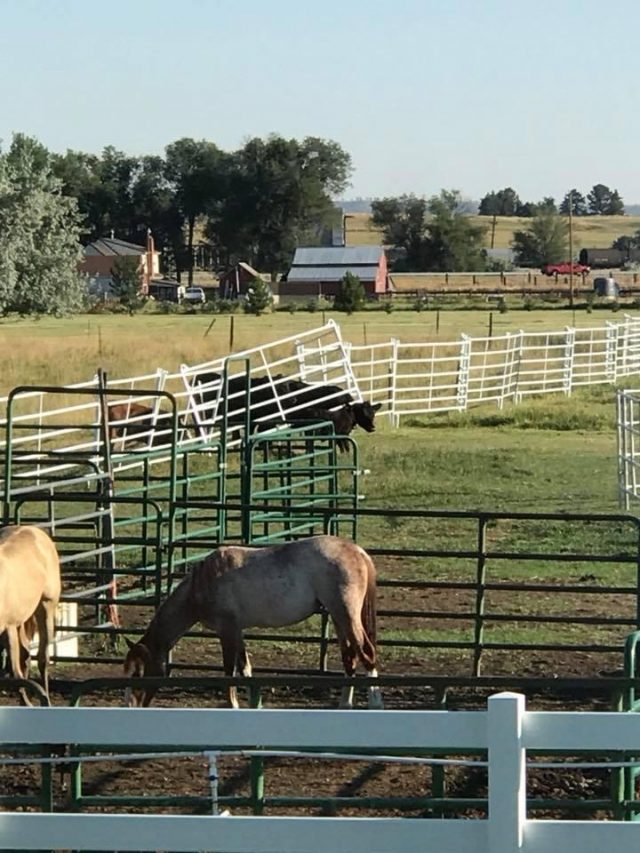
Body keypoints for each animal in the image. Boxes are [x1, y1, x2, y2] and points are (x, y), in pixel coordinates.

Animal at [0, 525, 61, 705]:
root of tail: (35, 530)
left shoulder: (8, 628)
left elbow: (15, 674)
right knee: (26, 655)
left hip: (46, 607)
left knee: (42, 658)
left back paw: (45, 699)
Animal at [124, 534, 383, 710]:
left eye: (137, 674)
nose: (130, 707)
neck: (202, 583)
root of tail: (357, 551)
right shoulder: (237, 631)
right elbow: (245, 668)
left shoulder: (227, 631)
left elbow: (230, 671)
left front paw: (233, 705)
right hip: (338, 618)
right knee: (350, 658)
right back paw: (344, 705)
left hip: (346, 615)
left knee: (367, 654)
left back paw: (375, 704)